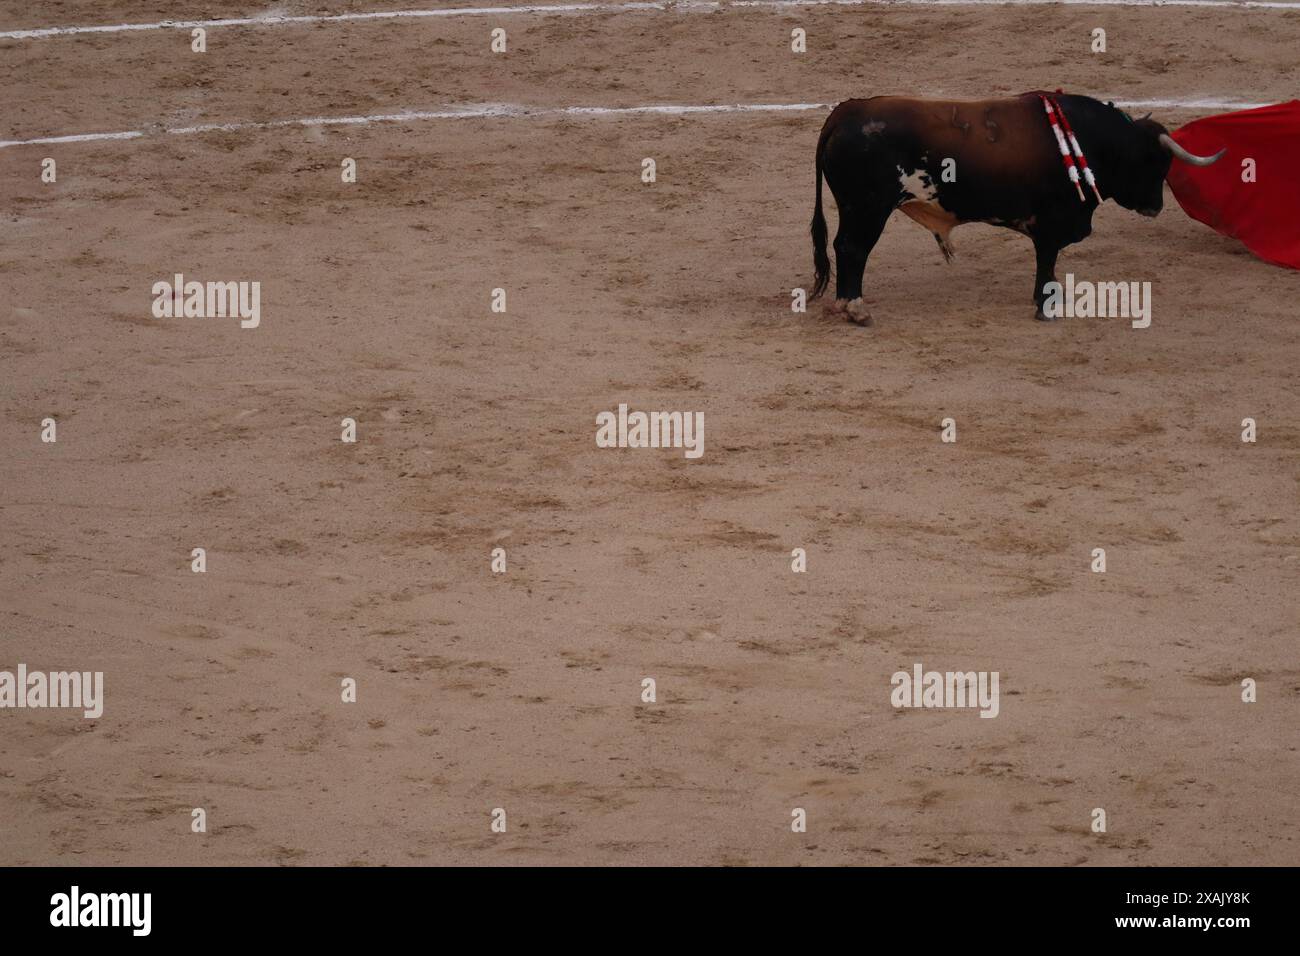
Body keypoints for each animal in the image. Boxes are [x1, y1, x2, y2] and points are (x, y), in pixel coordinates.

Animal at [809, 92, 1225, 324]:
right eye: (1156, 163)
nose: (1156, 207)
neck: (1091, 140)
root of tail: (844, 114)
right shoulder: (1053, 222)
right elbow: (1047, 260)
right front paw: (1045, 306)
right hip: (868, 209)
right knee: (853, 249)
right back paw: (856, 309)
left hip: (855, 209)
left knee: (843, 247)